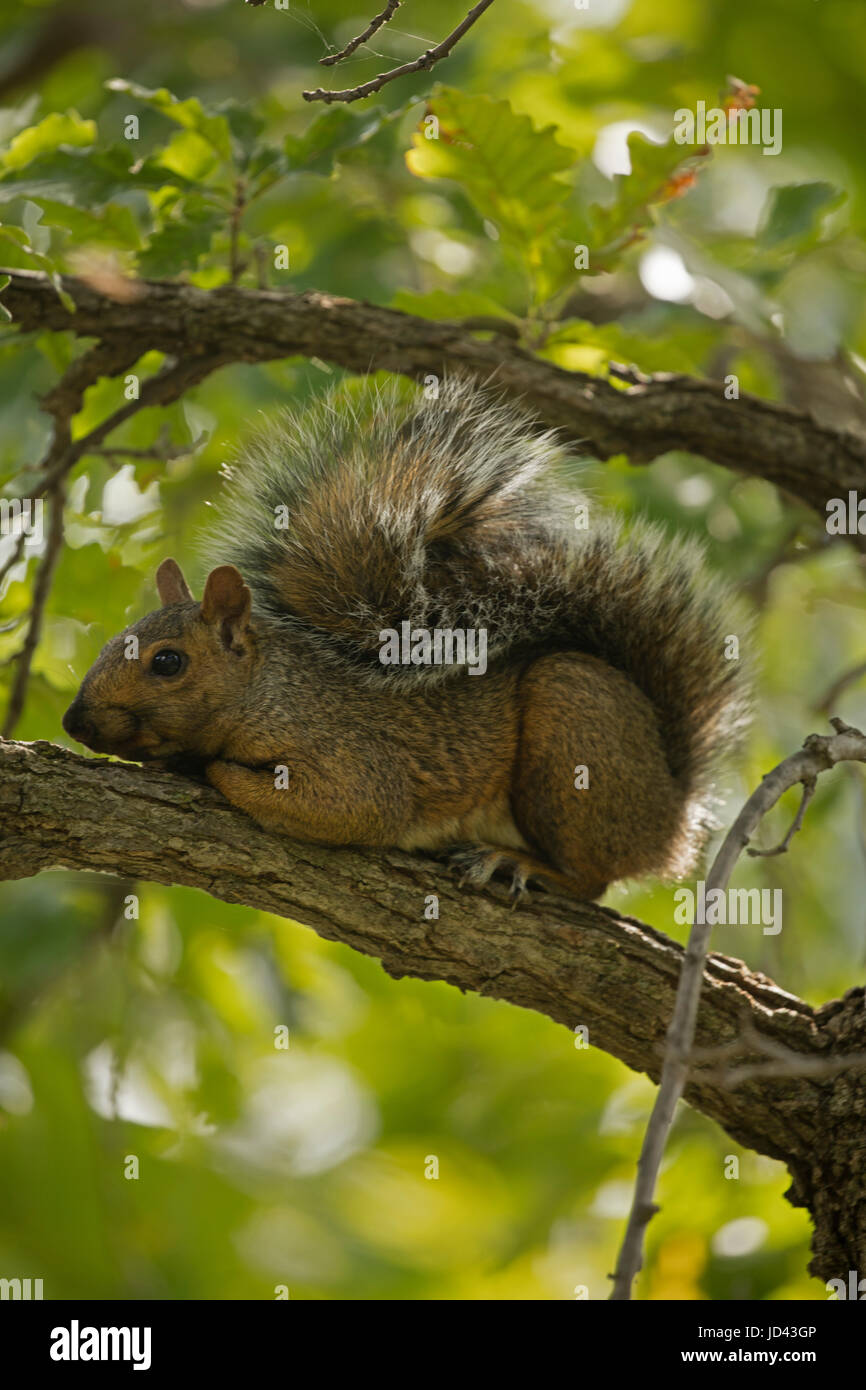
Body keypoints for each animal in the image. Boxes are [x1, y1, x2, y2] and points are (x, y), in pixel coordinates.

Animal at [62, 377, 750, 902]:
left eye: (167, 663)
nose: (73, 721)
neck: (269, 692)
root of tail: (674, 815)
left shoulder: (350, 759)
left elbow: (353, 807)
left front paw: (208, 767)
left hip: (575, 726)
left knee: (592, 880)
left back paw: (519, 863)